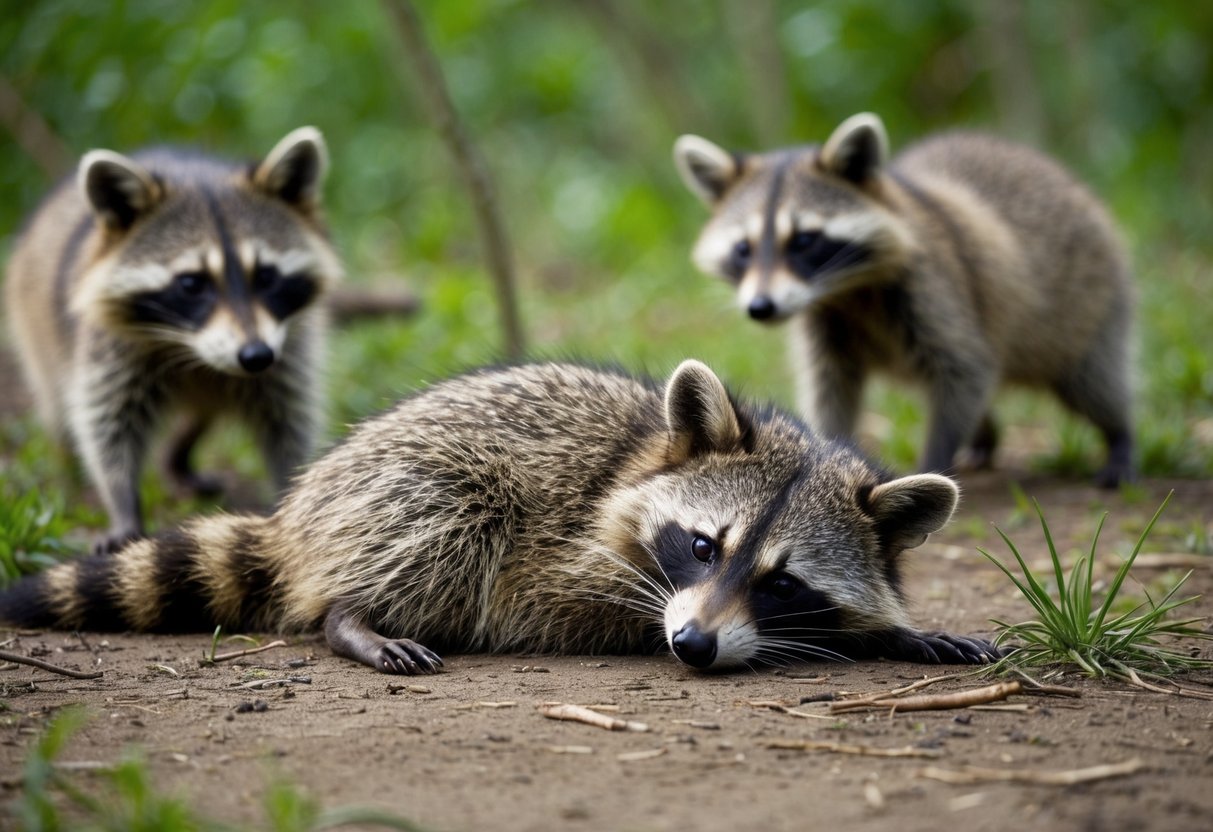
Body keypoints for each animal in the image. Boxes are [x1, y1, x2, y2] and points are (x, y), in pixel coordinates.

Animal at [0, 360, 999, 673]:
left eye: (782, 581)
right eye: (700, 545)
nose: (693, 647)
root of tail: (299, 511)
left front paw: (891, 631)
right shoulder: (572, 555)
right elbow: (589, 600)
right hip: (409, 488)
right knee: (439, 522)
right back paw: (354, 616)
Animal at [4, 128, 342, 553]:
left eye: (266, 276)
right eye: (192, 283)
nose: (256, 356)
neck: (191, 350)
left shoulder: (288, 348)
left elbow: (287, 419)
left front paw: (290, 488)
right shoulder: (108, 346)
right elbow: (107, 425)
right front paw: (122, 503)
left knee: (204, 410)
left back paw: (180, 453)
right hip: (32, 319)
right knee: (56, 404)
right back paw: (67, 461)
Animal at [674, 113, 1135, 487]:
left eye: (804, 240)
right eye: (743, 249)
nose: (761, 308)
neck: (845, 290)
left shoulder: (936, 286)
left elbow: (965, 367)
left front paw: (935, 460)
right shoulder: (825, 322)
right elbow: (831, 386)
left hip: (1092, 295)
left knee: (1092, 381)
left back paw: (1119, 436)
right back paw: (985, 435)